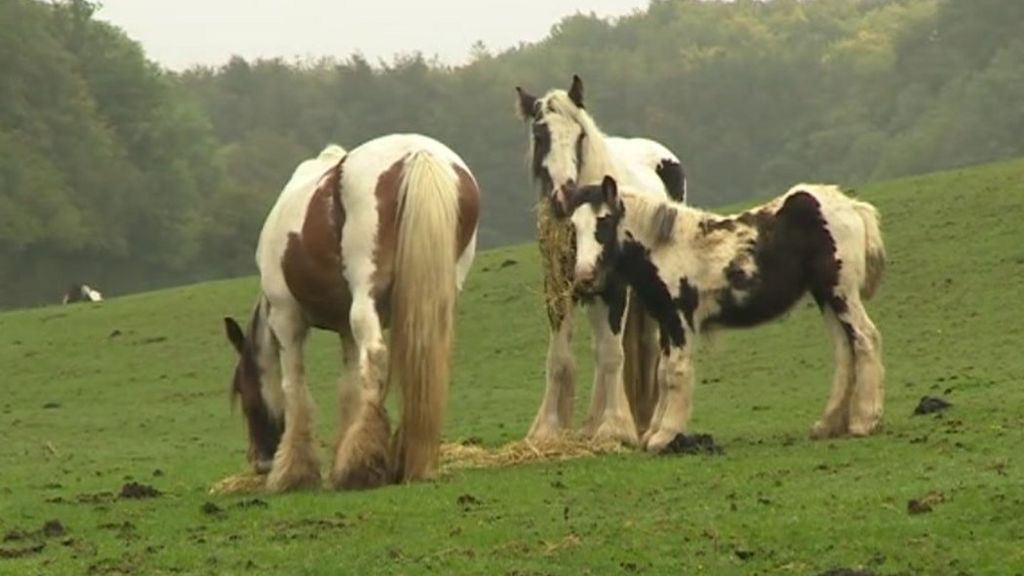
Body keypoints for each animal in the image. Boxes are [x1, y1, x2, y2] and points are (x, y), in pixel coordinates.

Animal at [222, 135, 481, 491]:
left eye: (243, 391)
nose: (260, 463)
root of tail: (420, 154)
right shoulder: (344, 328)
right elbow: (349, 388)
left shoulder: (286, 318)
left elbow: (294, 388)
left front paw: (293, 471)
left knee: (376, 357)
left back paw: (360, 466)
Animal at [515, 75, 687, 445]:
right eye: (540, 135)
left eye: (579, 135)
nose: (563, 196)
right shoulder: (560, 288)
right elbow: (561, 358)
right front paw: (549, 429)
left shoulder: (615, 288)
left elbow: (612, 355)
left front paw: (614, 428)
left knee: (648, 349)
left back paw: (648, 423)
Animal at [567, 176, 886, 452]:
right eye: (573, 226)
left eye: (604, 220)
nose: (584, 277)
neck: (665, 248)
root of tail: (852, 206)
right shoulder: (667, 321)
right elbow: (662, 373)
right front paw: (653, 433)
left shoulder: (681, 320)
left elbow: (675, 373)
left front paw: (664, 436)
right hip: (825, 295)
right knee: (845, 349)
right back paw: (828, 424)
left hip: (841, 293)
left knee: (865, 338)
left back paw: (864, 421)